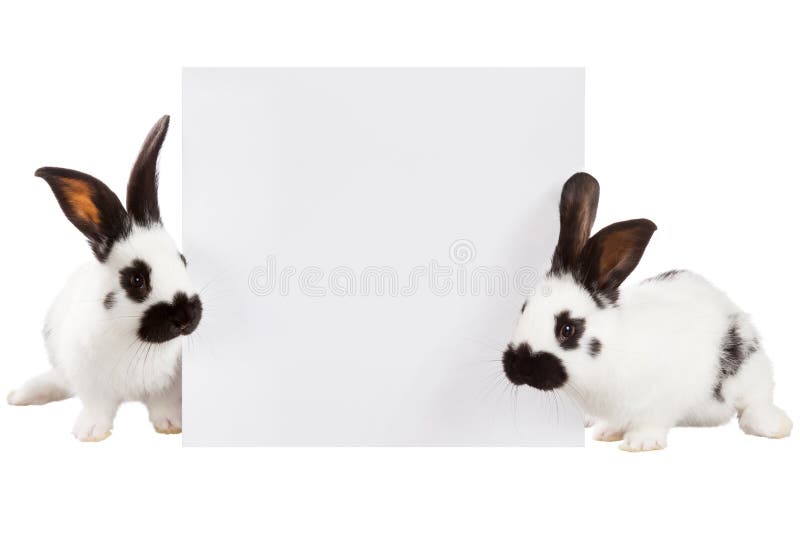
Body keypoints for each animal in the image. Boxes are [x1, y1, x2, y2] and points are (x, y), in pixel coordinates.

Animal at [7, 115, 201, 442]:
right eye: (136, 279)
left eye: (183, 260)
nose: (186, 318)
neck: (134, 338)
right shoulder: (89, 381)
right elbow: (97, 407)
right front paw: (89, 433)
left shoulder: (168, 385)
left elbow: (162, 404)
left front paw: (172, 425)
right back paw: (19, 396)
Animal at [502, 172, 792, 451]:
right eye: (523, 308)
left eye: (567, 329)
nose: (519, 367)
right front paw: (607, 433)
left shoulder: (660, 399)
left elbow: (651, 422)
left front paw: (639, 444)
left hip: (747, 371)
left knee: (756, 400)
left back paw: (775, 427)